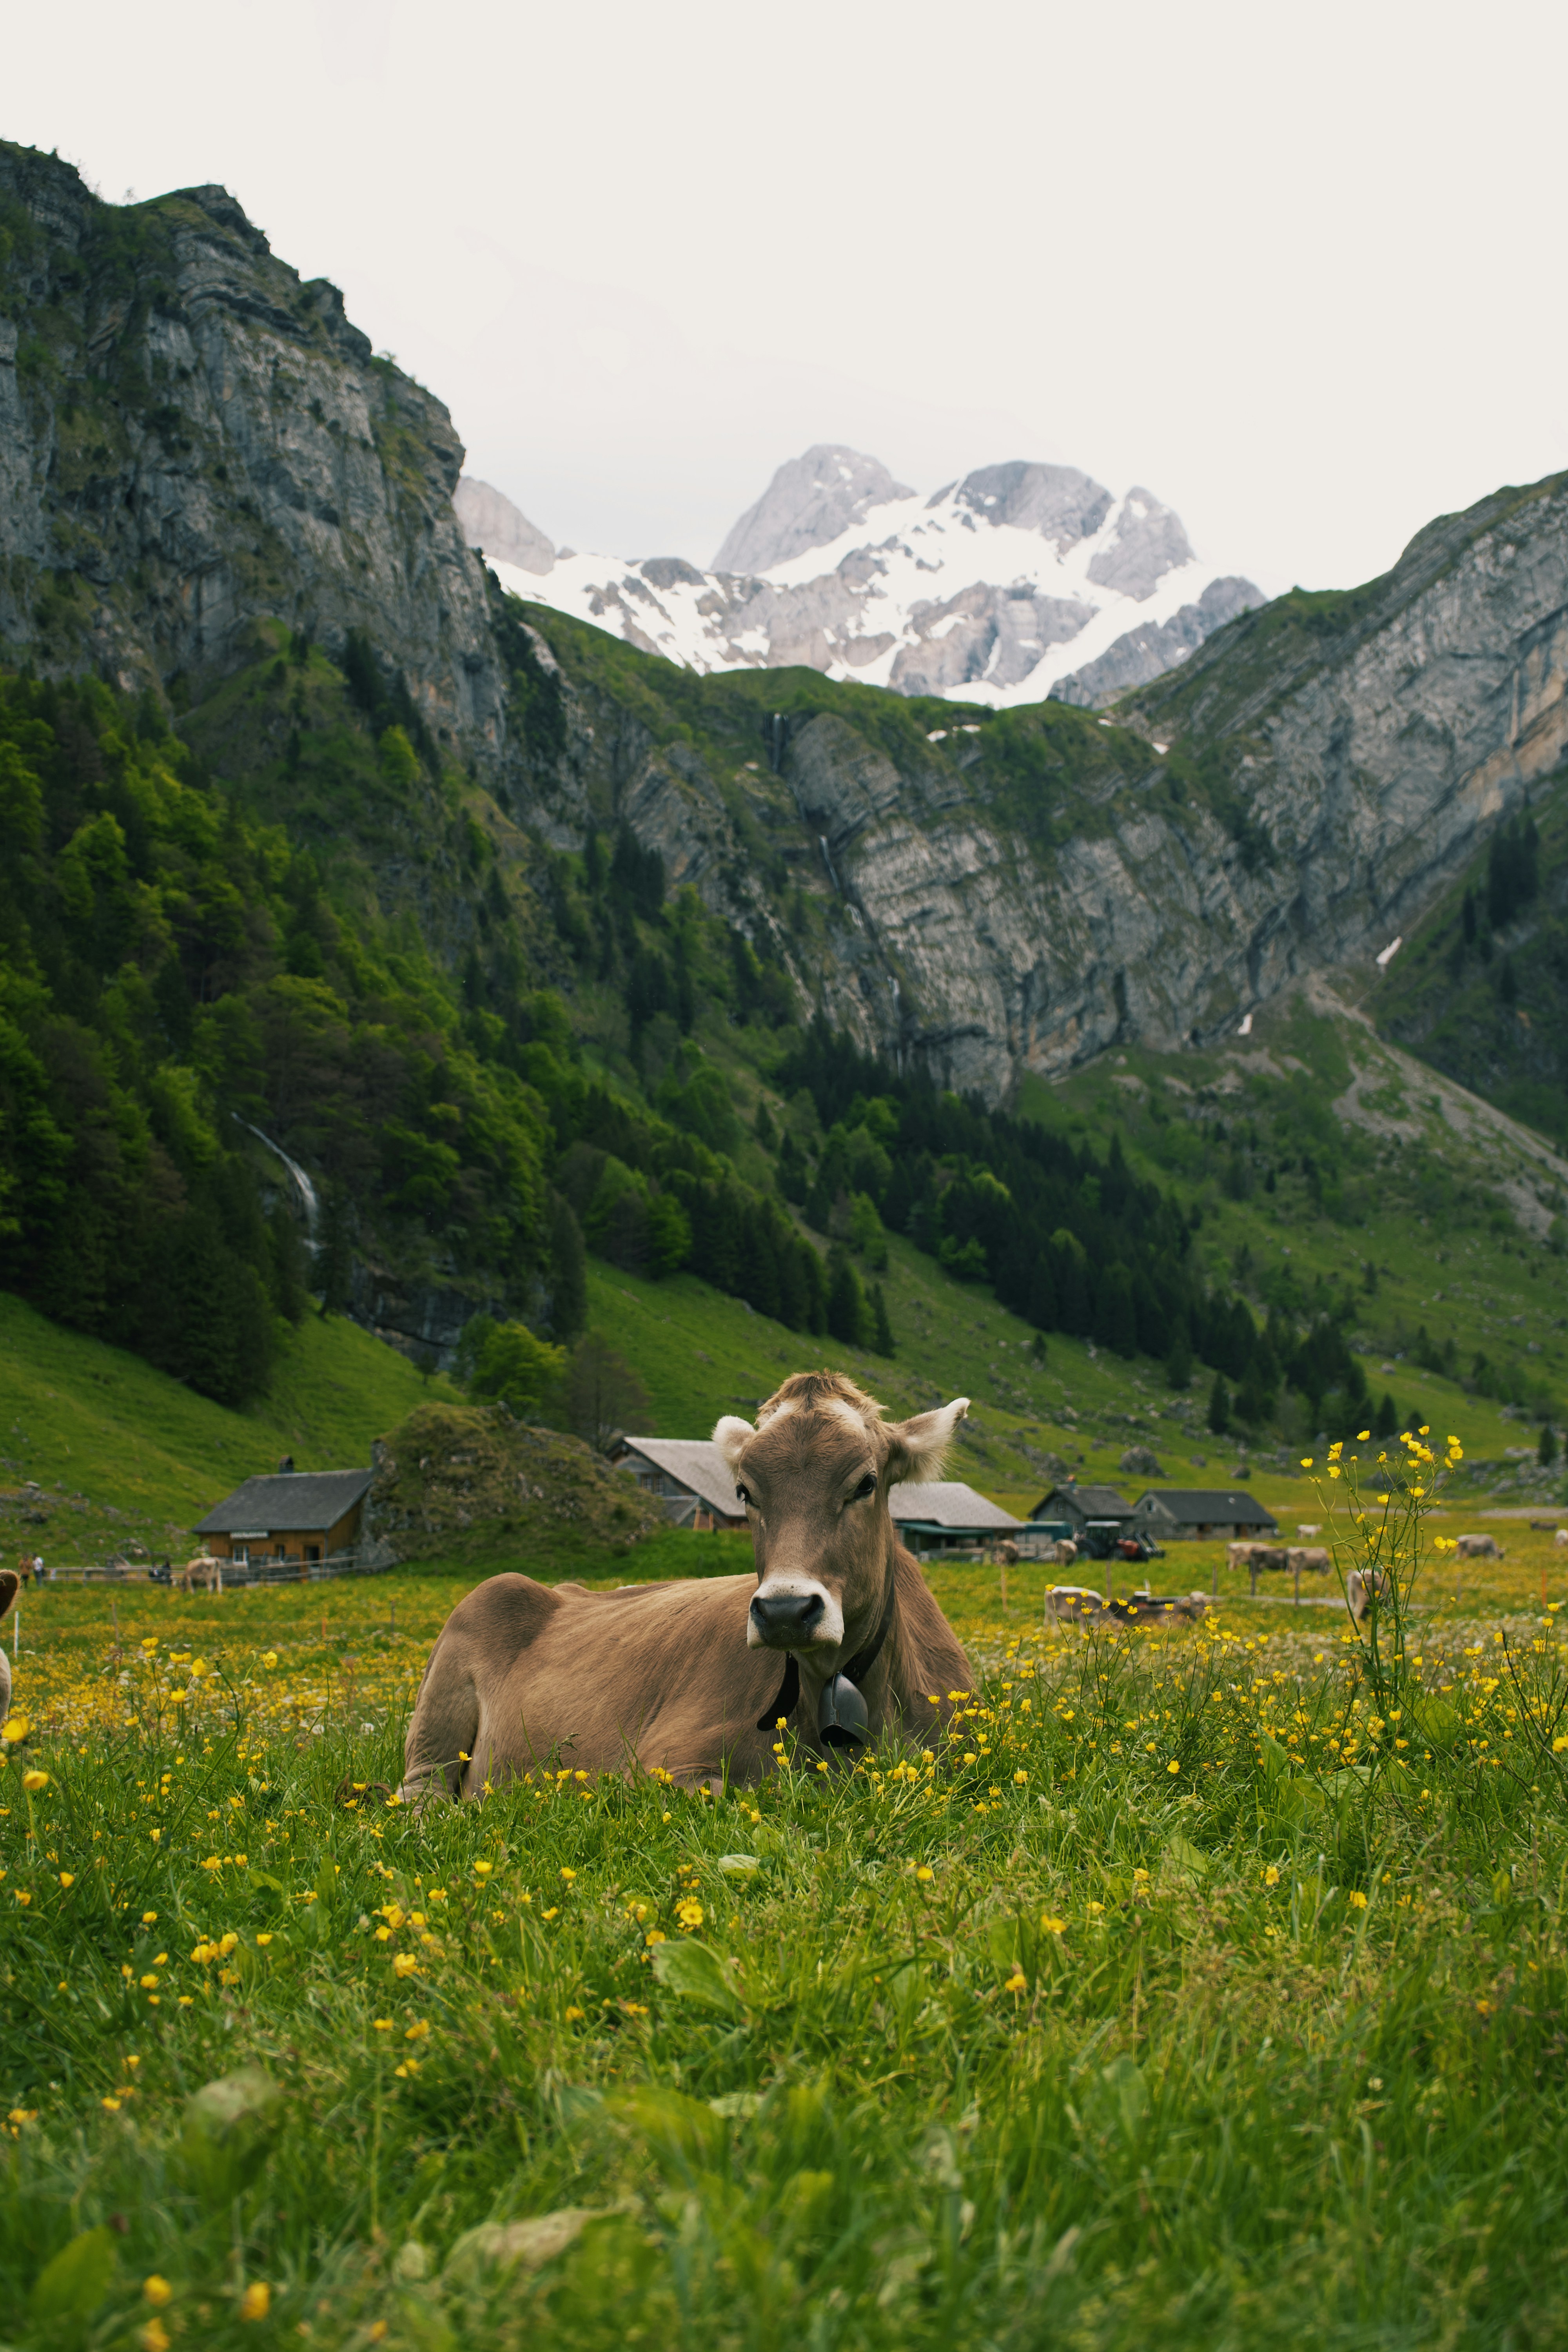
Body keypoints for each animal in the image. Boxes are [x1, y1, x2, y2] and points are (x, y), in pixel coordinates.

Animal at [399, 1372, 976, 1801]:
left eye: (866, 1483)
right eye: (745, 1491)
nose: (786, 1612)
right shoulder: (659, 1763)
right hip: (469, 1646)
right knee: (422, 1791)